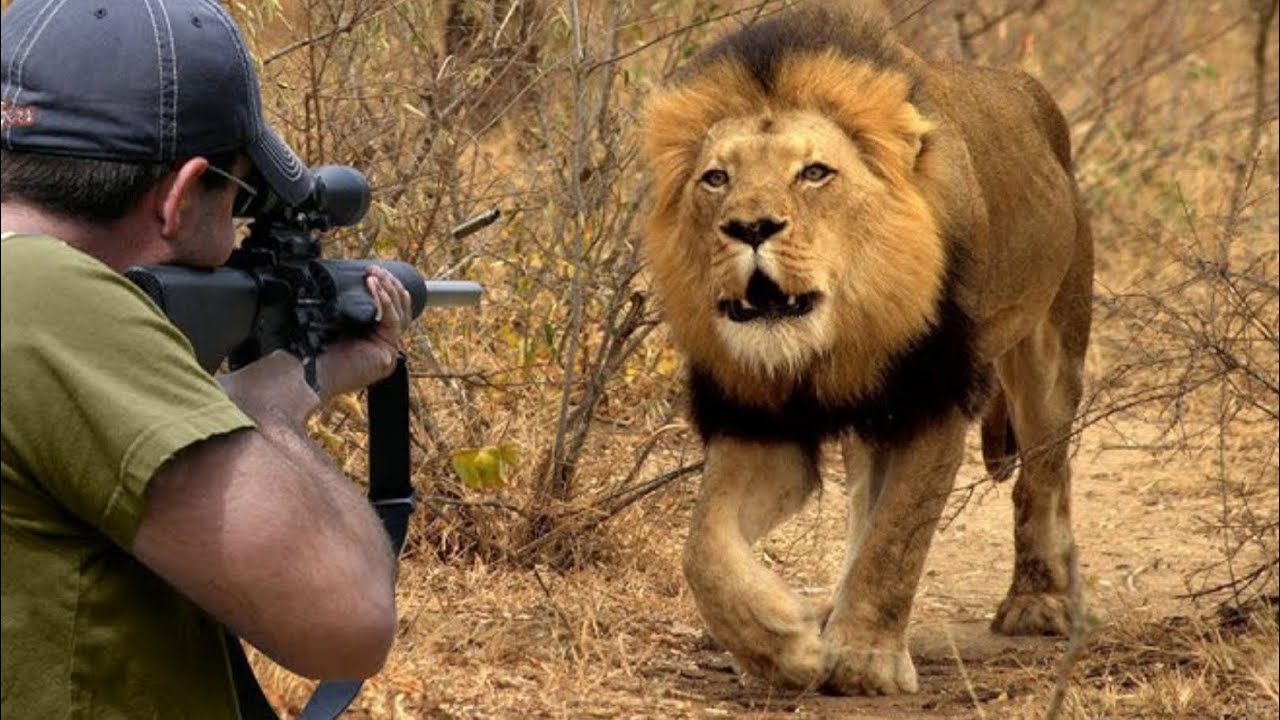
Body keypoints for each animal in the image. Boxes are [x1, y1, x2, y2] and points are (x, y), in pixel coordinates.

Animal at [639, 2, 1094, 696]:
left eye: (814, 173)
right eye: (715, 178)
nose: (749, 227)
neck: (827, 339)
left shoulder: (932, 397)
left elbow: (896, 539)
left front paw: (863, 659)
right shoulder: (757, 416)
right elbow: (705, 550)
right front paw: (788, 642)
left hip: (1049, 352)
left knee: (1043, 474)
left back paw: (1038, 603)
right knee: (862, 500)